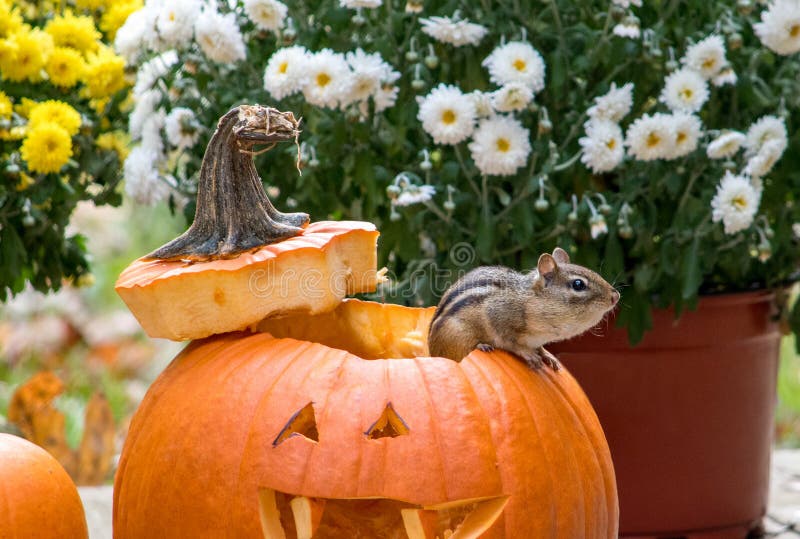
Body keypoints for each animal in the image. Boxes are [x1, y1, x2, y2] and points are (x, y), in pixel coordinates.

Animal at [427, 247, 620, 370]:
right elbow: (510, 341)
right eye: (578, 284)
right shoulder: (498, 316)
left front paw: (547, 355)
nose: (616, 296)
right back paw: (482, 345)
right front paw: (529, 354)